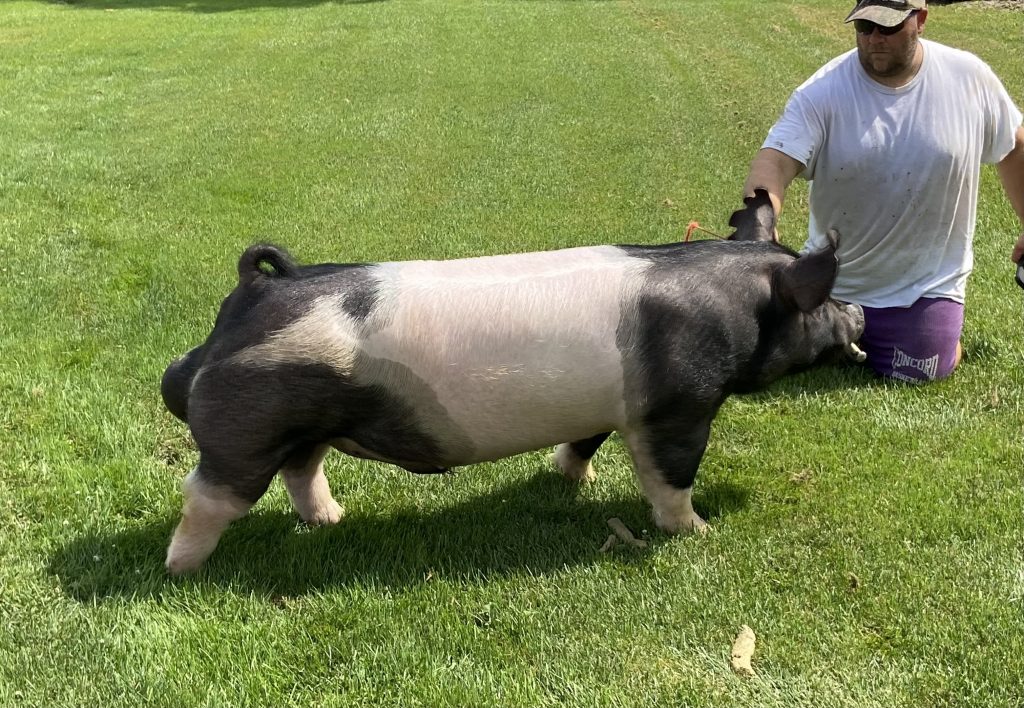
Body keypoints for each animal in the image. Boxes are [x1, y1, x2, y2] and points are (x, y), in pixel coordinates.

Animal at [161, 190, 865, 574]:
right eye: (824, 301)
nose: (859, 312)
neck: (731, 308)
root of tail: (254, 293)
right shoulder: (679, 407)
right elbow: (671, 476)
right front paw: (698, 532)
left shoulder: (607, 407)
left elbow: (584, 443)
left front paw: (572, 481)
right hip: (247, 424)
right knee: (208, 493)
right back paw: (181, 571)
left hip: (304, 423)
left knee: (302, 471)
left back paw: (333, 521)